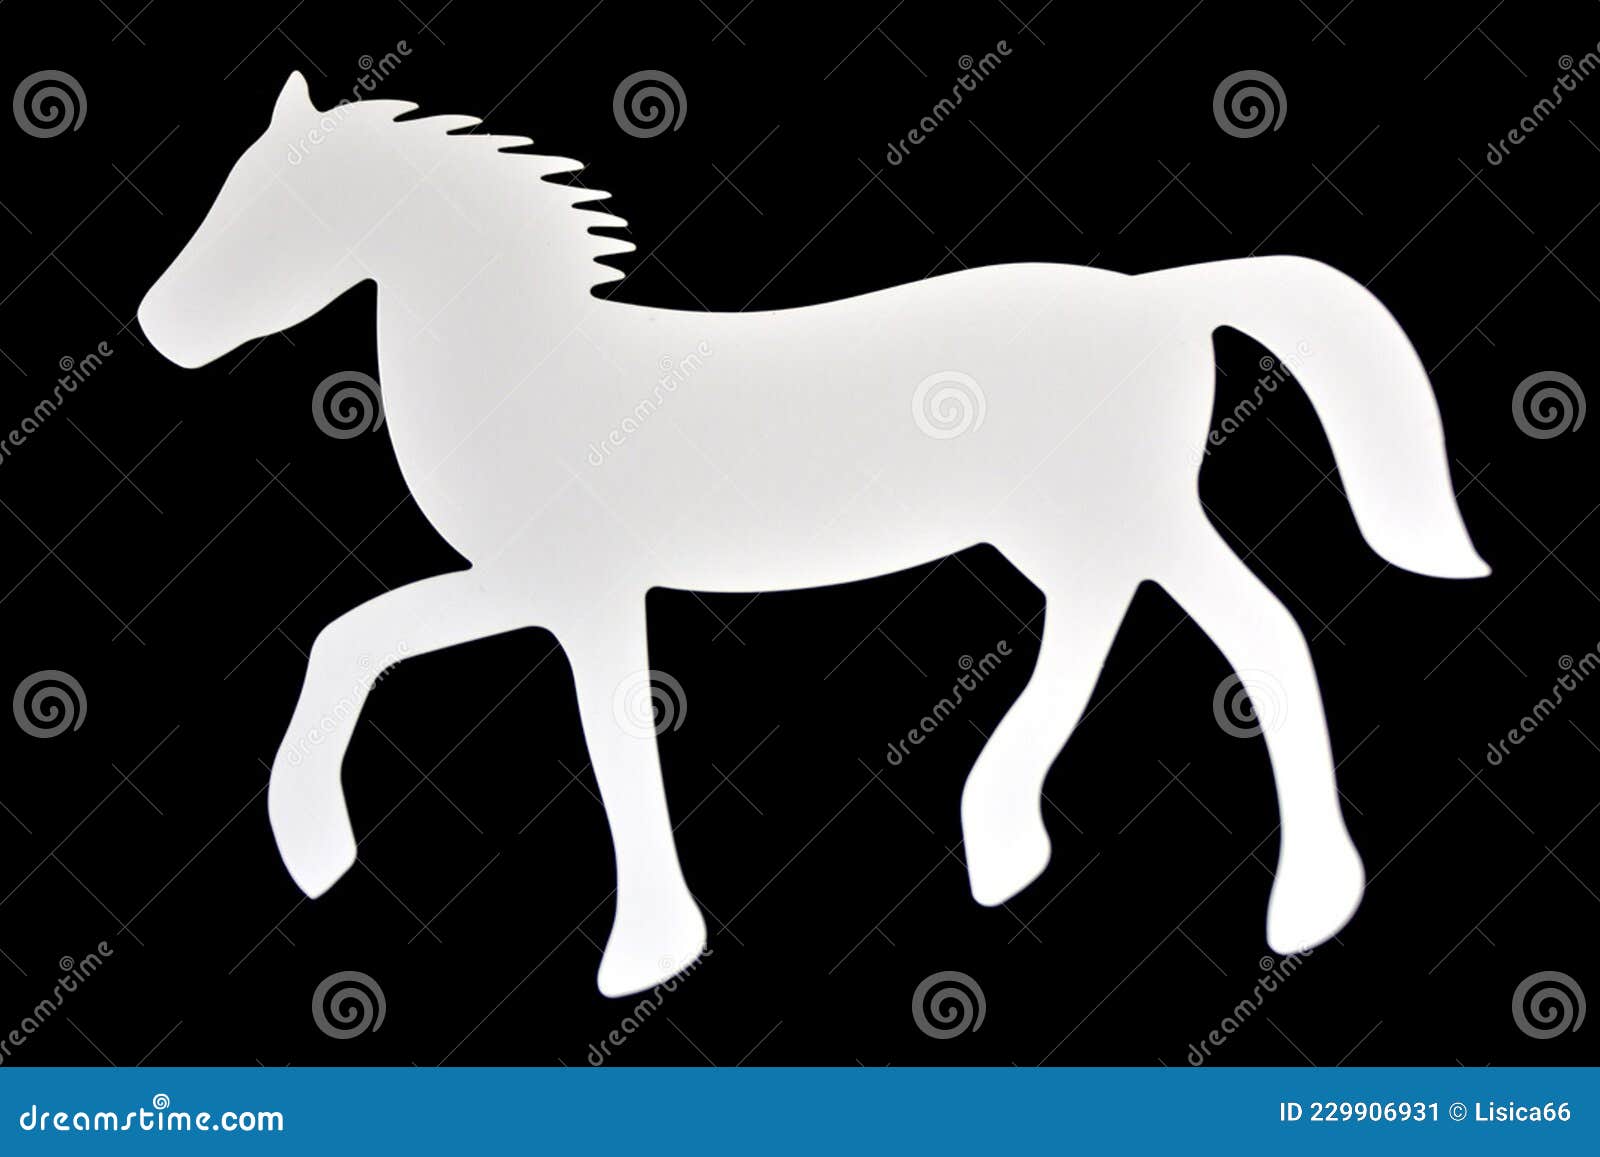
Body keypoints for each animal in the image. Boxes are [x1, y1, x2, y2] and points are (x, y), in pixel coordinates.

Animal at [139, 73, 1488, 997]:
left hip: (1133, 509)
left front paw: (644, 949)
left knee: (1259, 632)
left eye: (278, 208)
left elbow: (604, 736)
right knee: (1099, 618)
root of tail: (1164, 293)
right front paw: (315, 852)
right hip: (1068, 525)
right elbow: (351, 638)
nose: (156, 329)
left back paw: (1302, 903)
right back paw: (1002, 836)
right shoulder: (522, 579)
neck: (537, 368)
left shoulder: (577, 586)